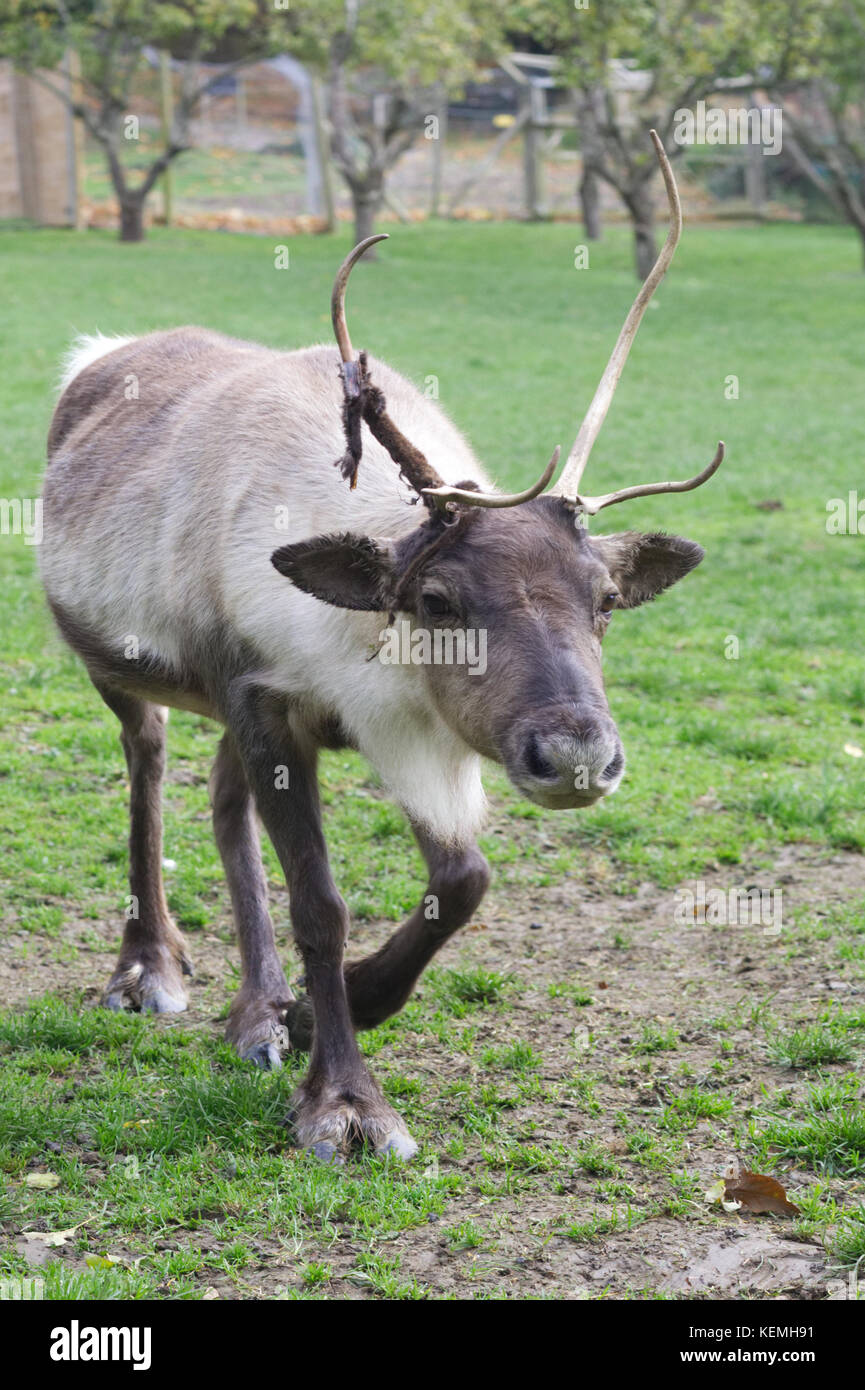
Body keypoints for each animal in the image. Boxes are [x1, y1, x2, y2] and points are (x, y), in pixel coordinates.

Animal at [40, 134, 723, 1161]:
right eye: (436, 599)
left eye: (604, 601)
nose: (575, 755)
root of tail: (101, 353)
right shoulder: (269, 699)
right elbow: (321, 904)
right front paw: (345, 1102)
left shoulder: (394, 728)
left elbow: (464, 879)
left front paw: (324, 1011)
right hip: (119, 669)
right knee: (148, 767)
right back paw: (149, 969)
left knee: (222, 806)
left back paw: (256, 1013)